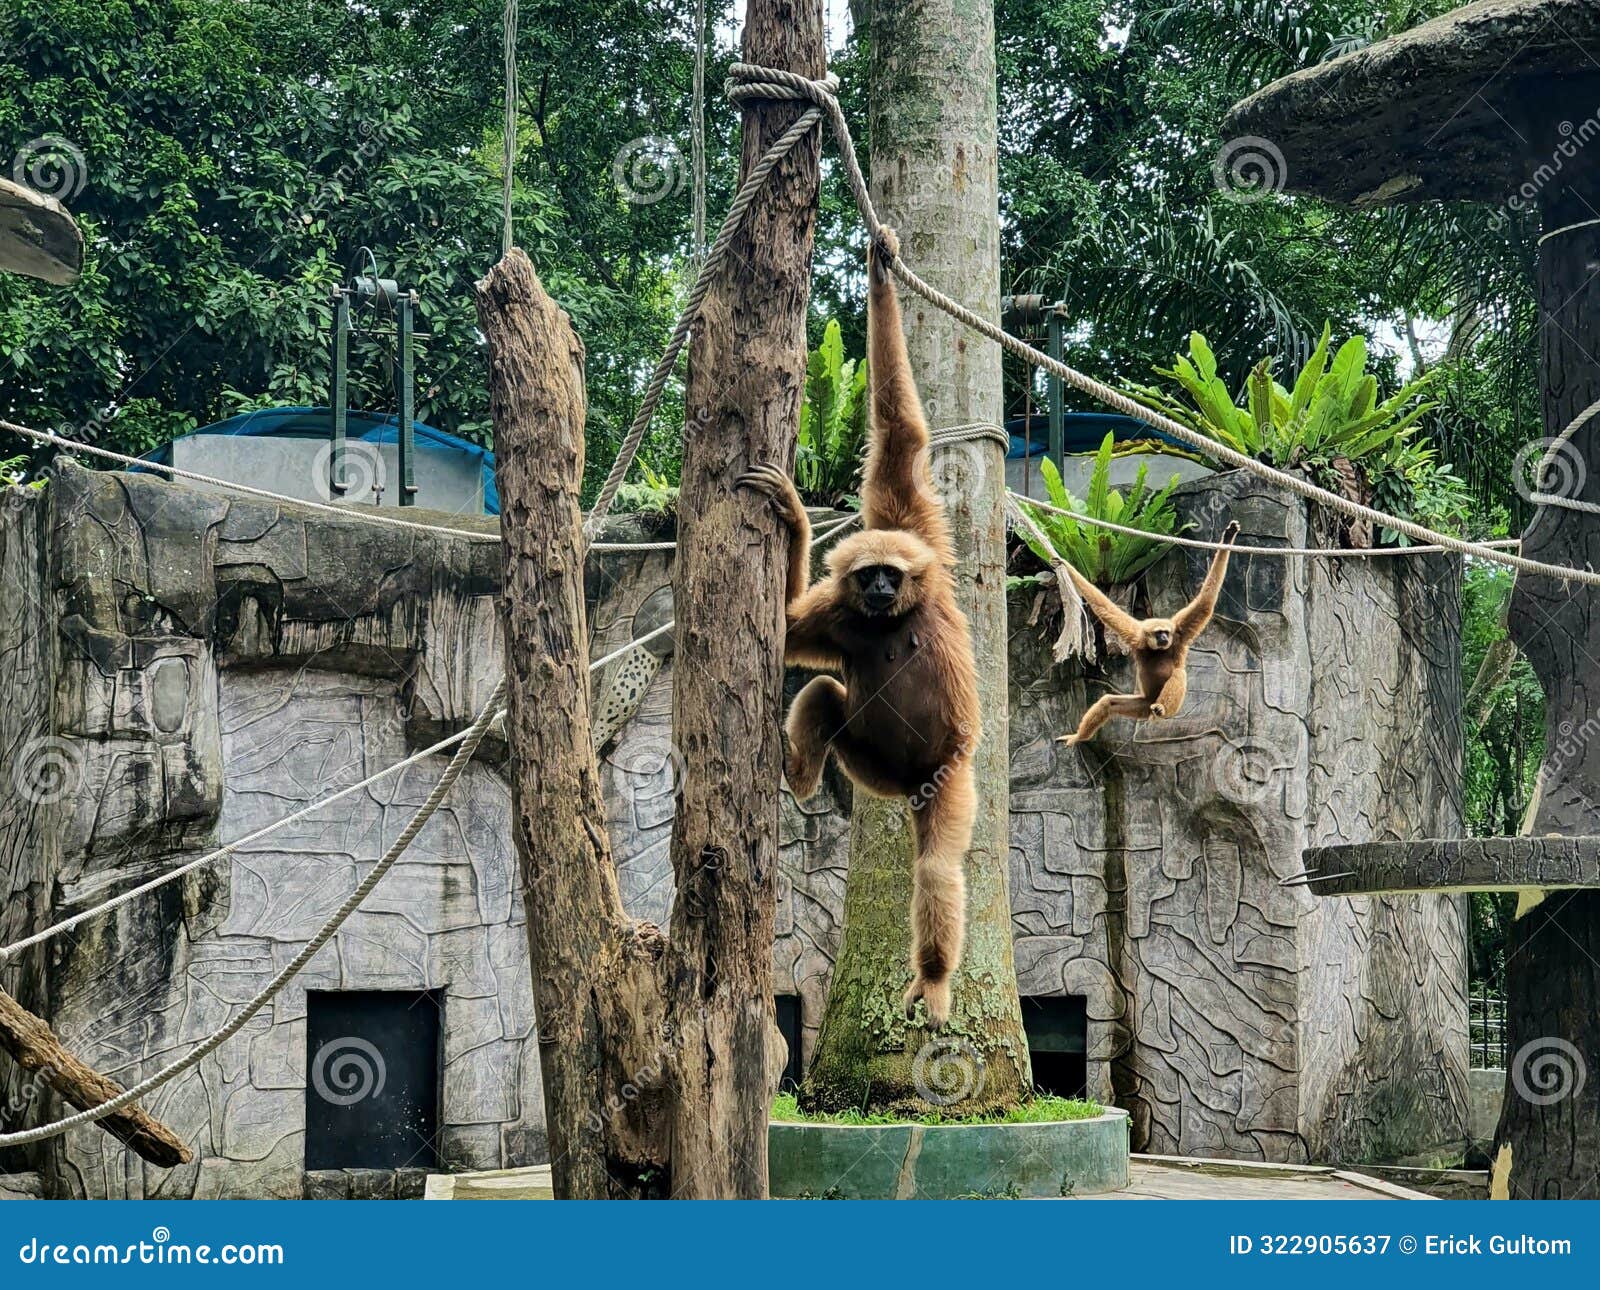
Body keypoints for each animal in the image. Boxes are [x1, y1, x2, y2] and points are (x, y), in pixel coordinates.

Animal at [737, 226, 979, 1030]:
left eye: (890, 576)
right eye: (869, 573)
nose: (875, 587)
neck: (891, 619)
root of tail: (903, 785)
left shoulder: (920, 542)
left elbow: (901, 433)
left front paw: (881, 271)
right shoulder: (842, 615)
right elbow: (789, 635)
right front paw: (794, 516)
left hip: (946, 774)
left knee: (936, 865)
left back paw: (932, 979)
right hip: (868, 763)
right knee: (821, 699)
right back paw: (800, 778)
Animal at [1057, 520, 1241, 746]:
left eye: (1166, 633)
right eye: (1158, 633)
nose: (1164, 638)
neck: (1157, 648)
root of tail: (1151, 706)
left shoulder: (1180, 632)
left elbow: (1205, 603)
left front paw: (1228, 537)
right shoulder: (1136, 635)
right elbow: (1105, 609)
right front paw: (1065, 565)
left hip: (1165, 707)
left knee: (1178, 674)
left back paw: (1161, 708)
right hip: (1142, 706)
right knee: (1108, 702)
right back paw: (1079, 737)